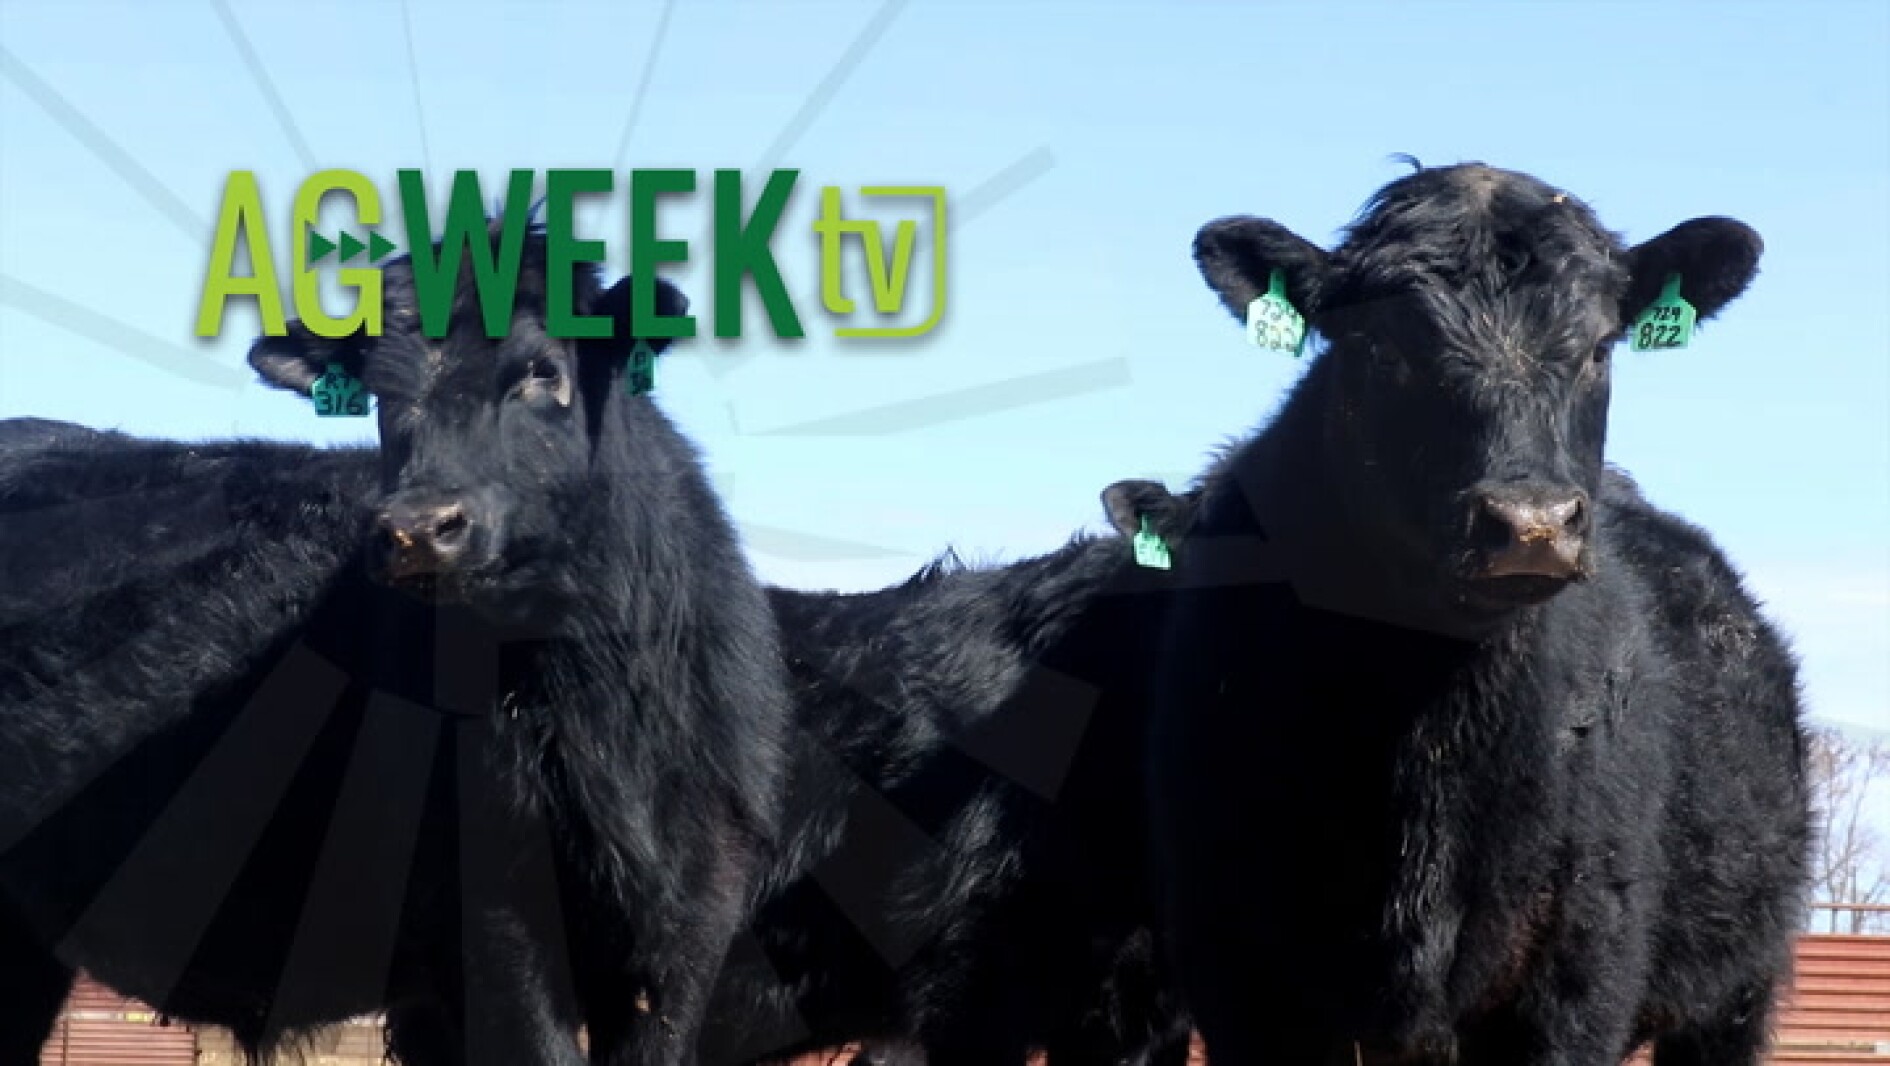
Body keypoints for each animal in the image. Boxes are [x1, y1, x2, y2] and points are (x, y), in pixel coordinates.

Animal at [1145, 162, 1811, 1066]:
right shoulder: (1238, 966)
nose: (1530, 522)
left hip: (1735, 992)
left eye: (1600, 347)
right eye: (1380, 348)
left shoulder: (1579, 971)